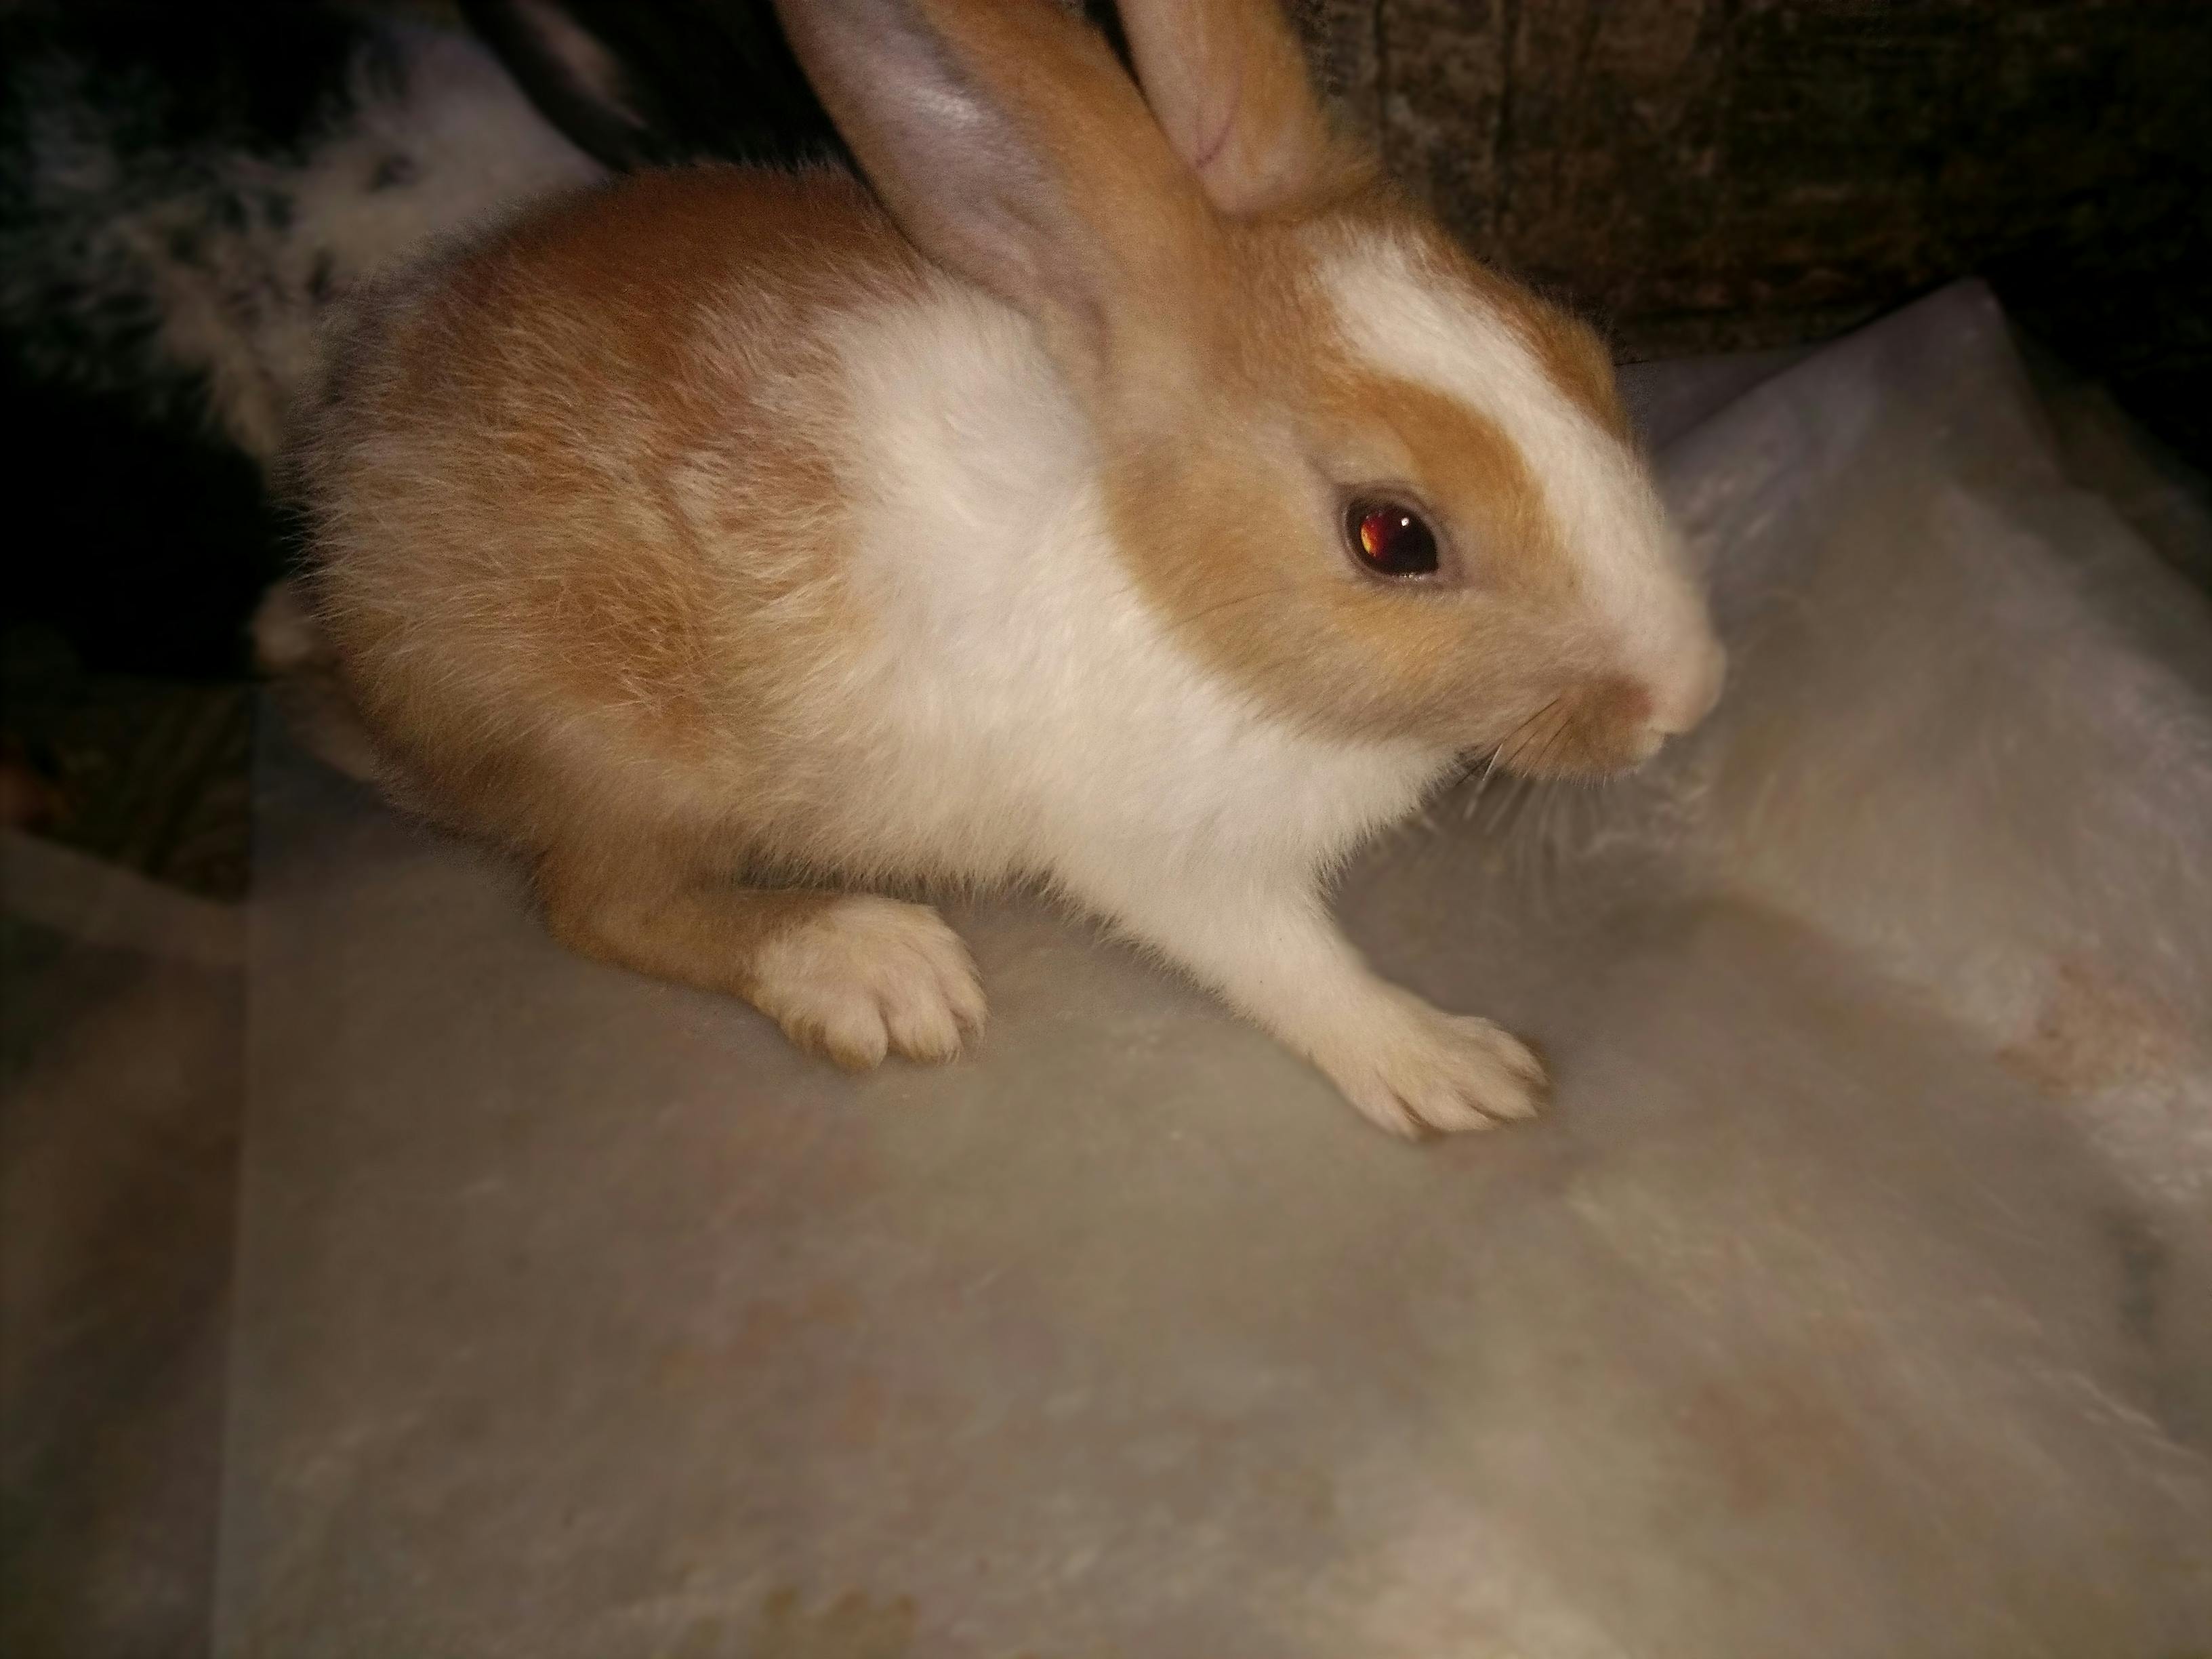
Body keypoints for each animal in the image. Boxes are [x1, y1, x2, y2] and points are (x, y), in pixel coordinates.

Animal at [287, 0, 1726, 1136]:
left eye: (1579, 352)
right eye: (1392, 536)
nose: (1687, 696)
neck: (1173, 590)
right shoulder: (1168, 857)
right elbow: (1294, 965)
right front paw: (1457, 1069)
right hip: (619, 763)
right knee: (600, 905)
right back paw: (873, 967)